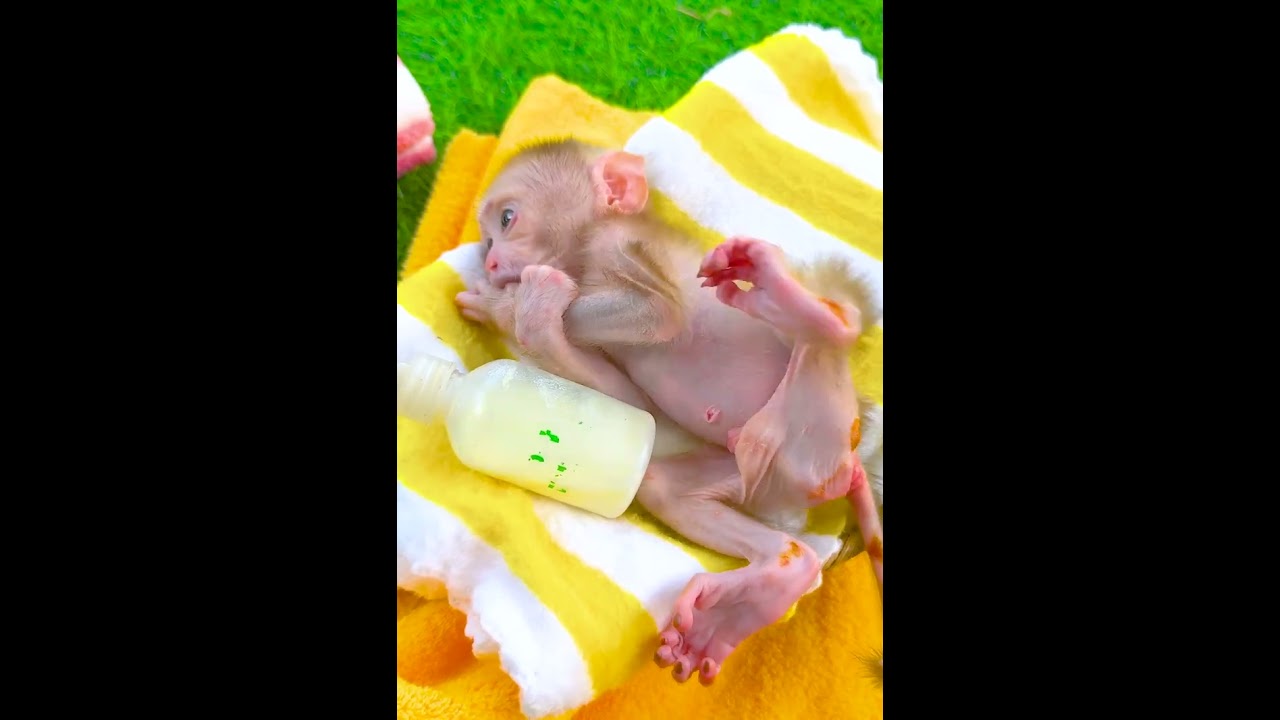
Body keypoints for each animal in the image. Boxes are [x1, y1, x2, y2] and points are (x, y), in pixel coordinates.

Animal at [454, 139, 883, 687]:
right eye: (486, 240)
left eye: (507, 219)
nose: (490, 263)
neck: (583, 256)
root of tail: (850, 463)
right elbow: (635, 404)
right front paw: (511, 309)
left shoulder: (617, 245)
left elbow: (661, 314)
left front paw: (508, 307)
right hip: (773, 468)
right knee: (671, 490)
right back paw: (764, 589)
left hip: (822, 425)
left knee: (829, 330)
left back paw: (804, 307)